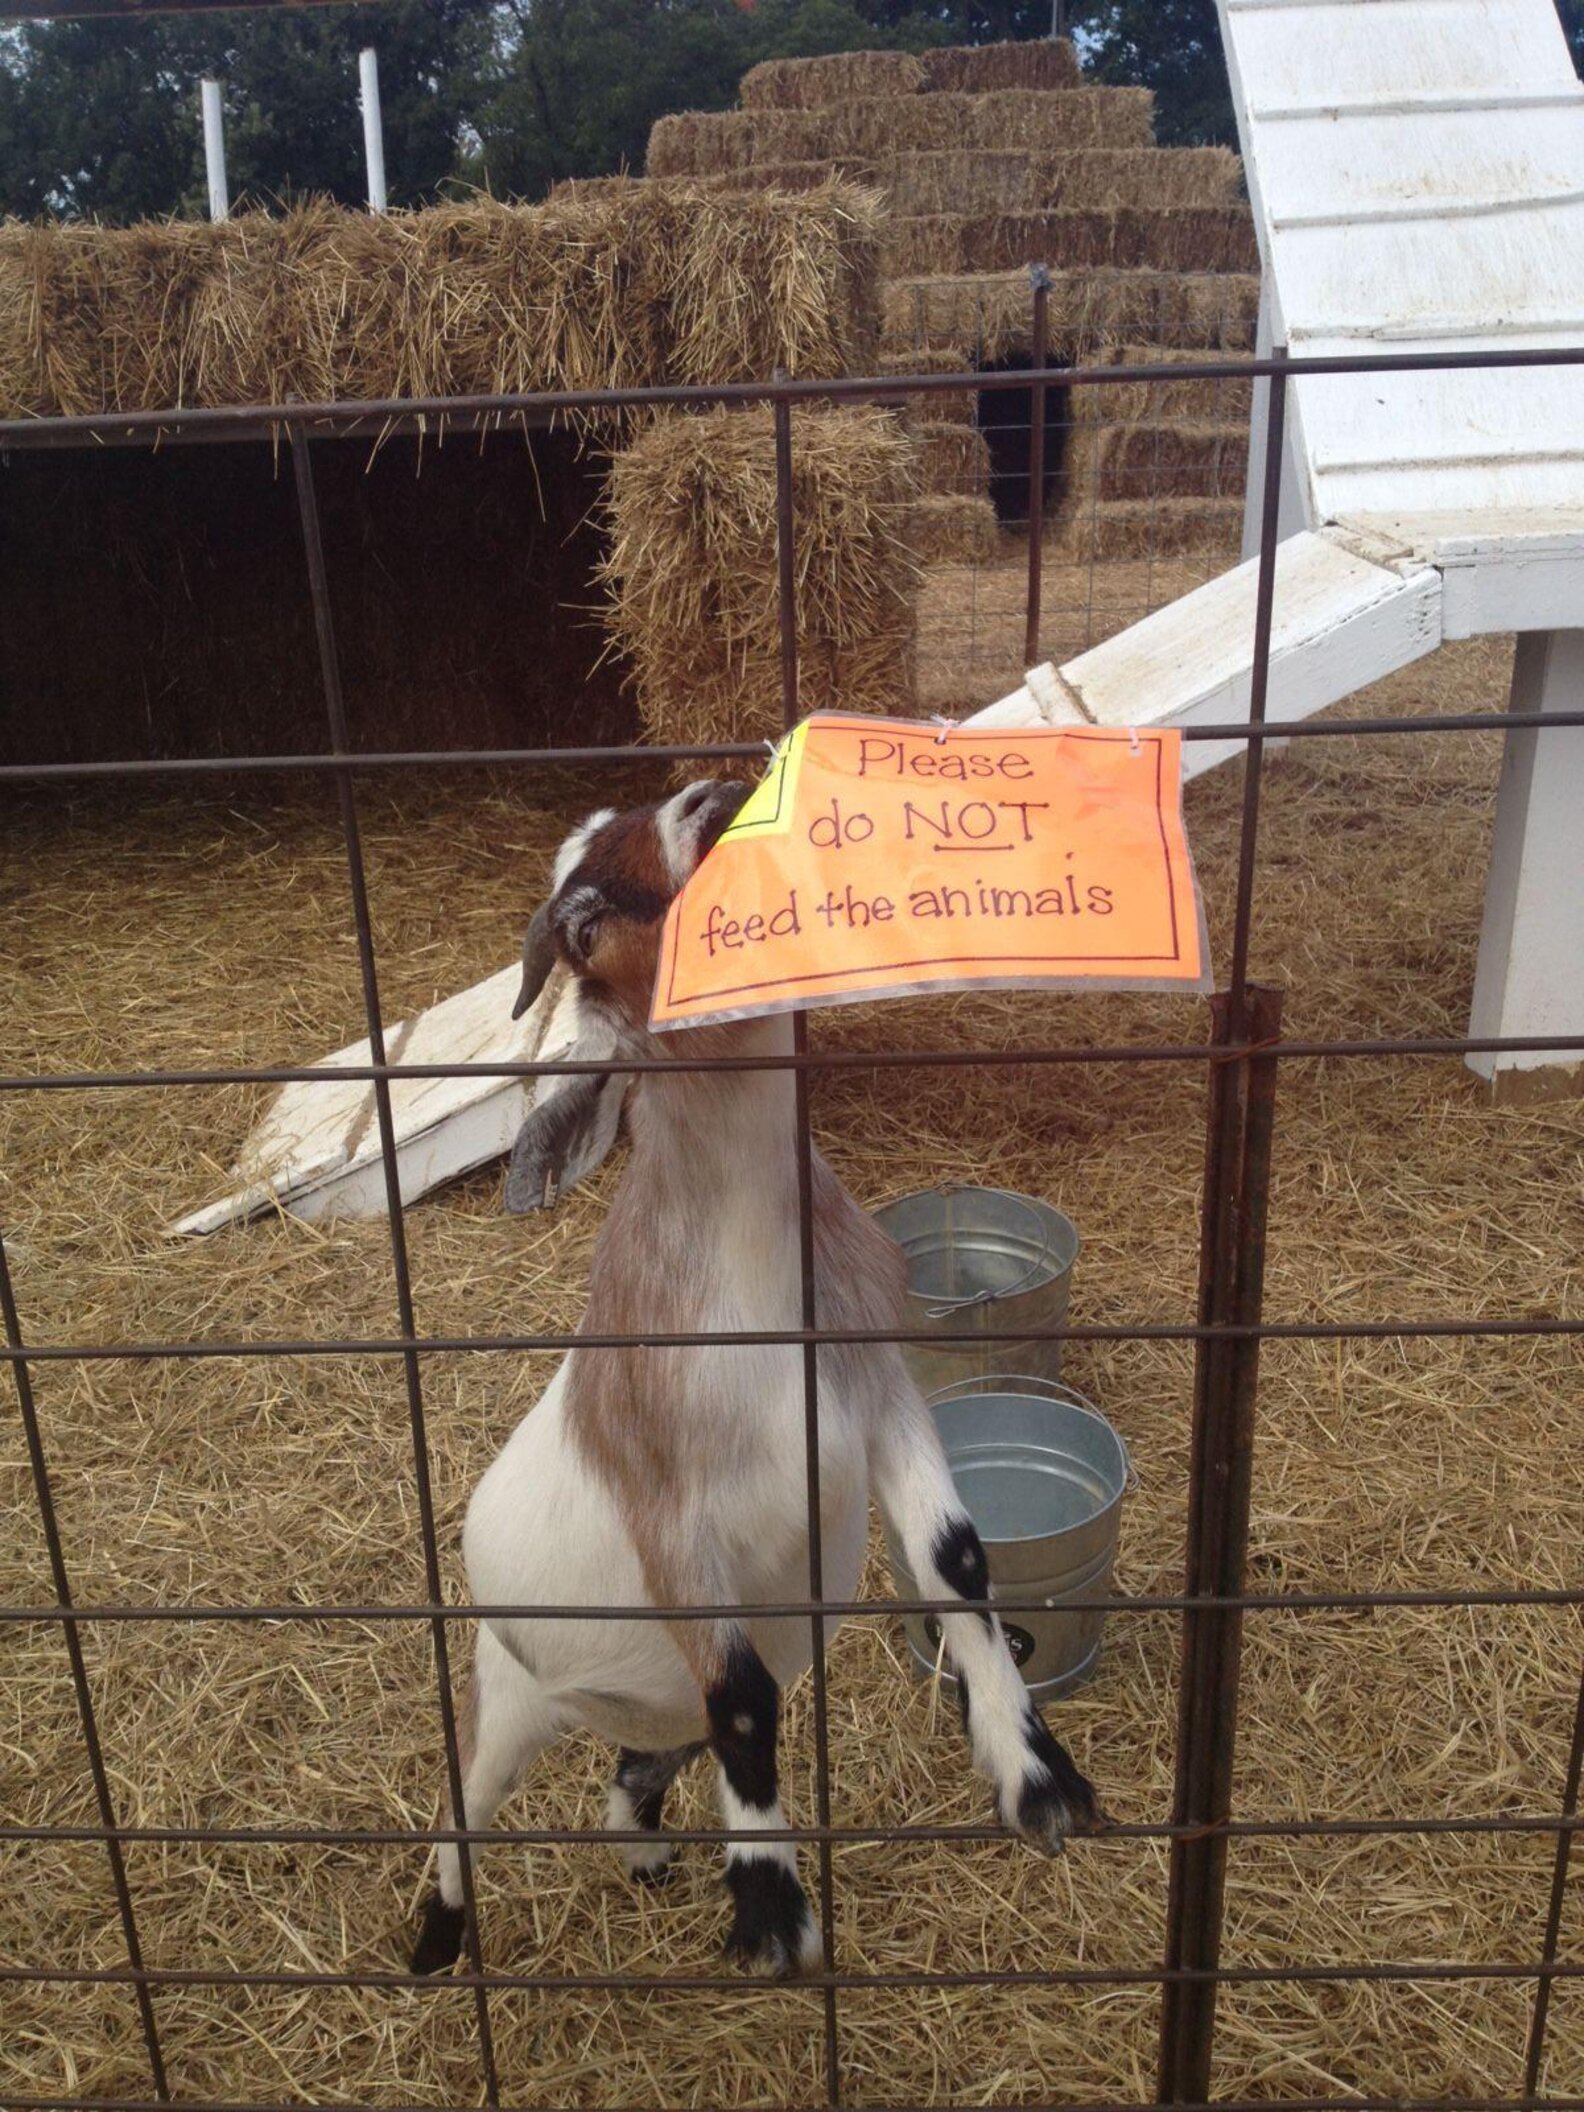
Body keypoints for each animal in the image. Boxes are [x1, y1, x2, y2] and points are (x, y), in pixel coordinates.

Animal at [412, 779, 1100, 1980]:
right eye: (583, 920)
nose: (708, 797)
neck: (753, 1274)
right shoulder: (667, 1498)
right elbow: (743, 1700)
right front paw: (774, 1913)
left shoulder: (876, 1390)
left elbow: (957, 1562)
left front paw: (1035, 1778)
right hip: (506, 1693)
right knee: (464, 1809)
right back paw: (437, 1940)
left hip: (645, 1710)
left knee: (638, 1765)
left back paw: (645, 1855)